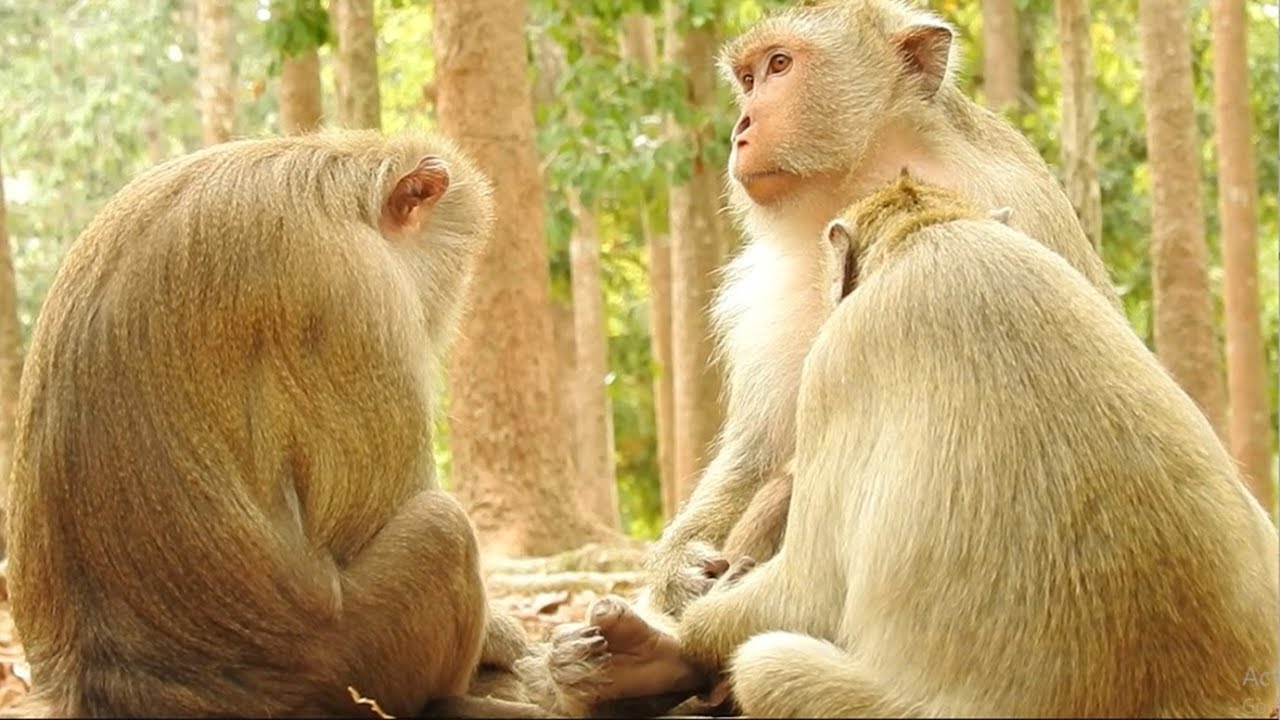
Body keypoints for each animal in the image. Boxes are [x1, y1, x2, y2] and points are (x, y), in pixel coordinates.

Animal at [2, 129, 551, 719]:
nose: (451, 312)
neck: (341, 191)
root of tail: (102, 686)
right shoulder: (359, 297)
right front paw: (502, 638)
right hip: (350, 665)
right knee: (442, 530)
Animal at [641, 0, 1128, 620]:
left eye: (780, 65)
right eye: (747, 79)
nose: (741, 127)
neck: (873, 179)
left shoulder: (1021, 207)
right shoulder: (771, 287)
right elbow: (758, 455)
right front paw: (676, 566)